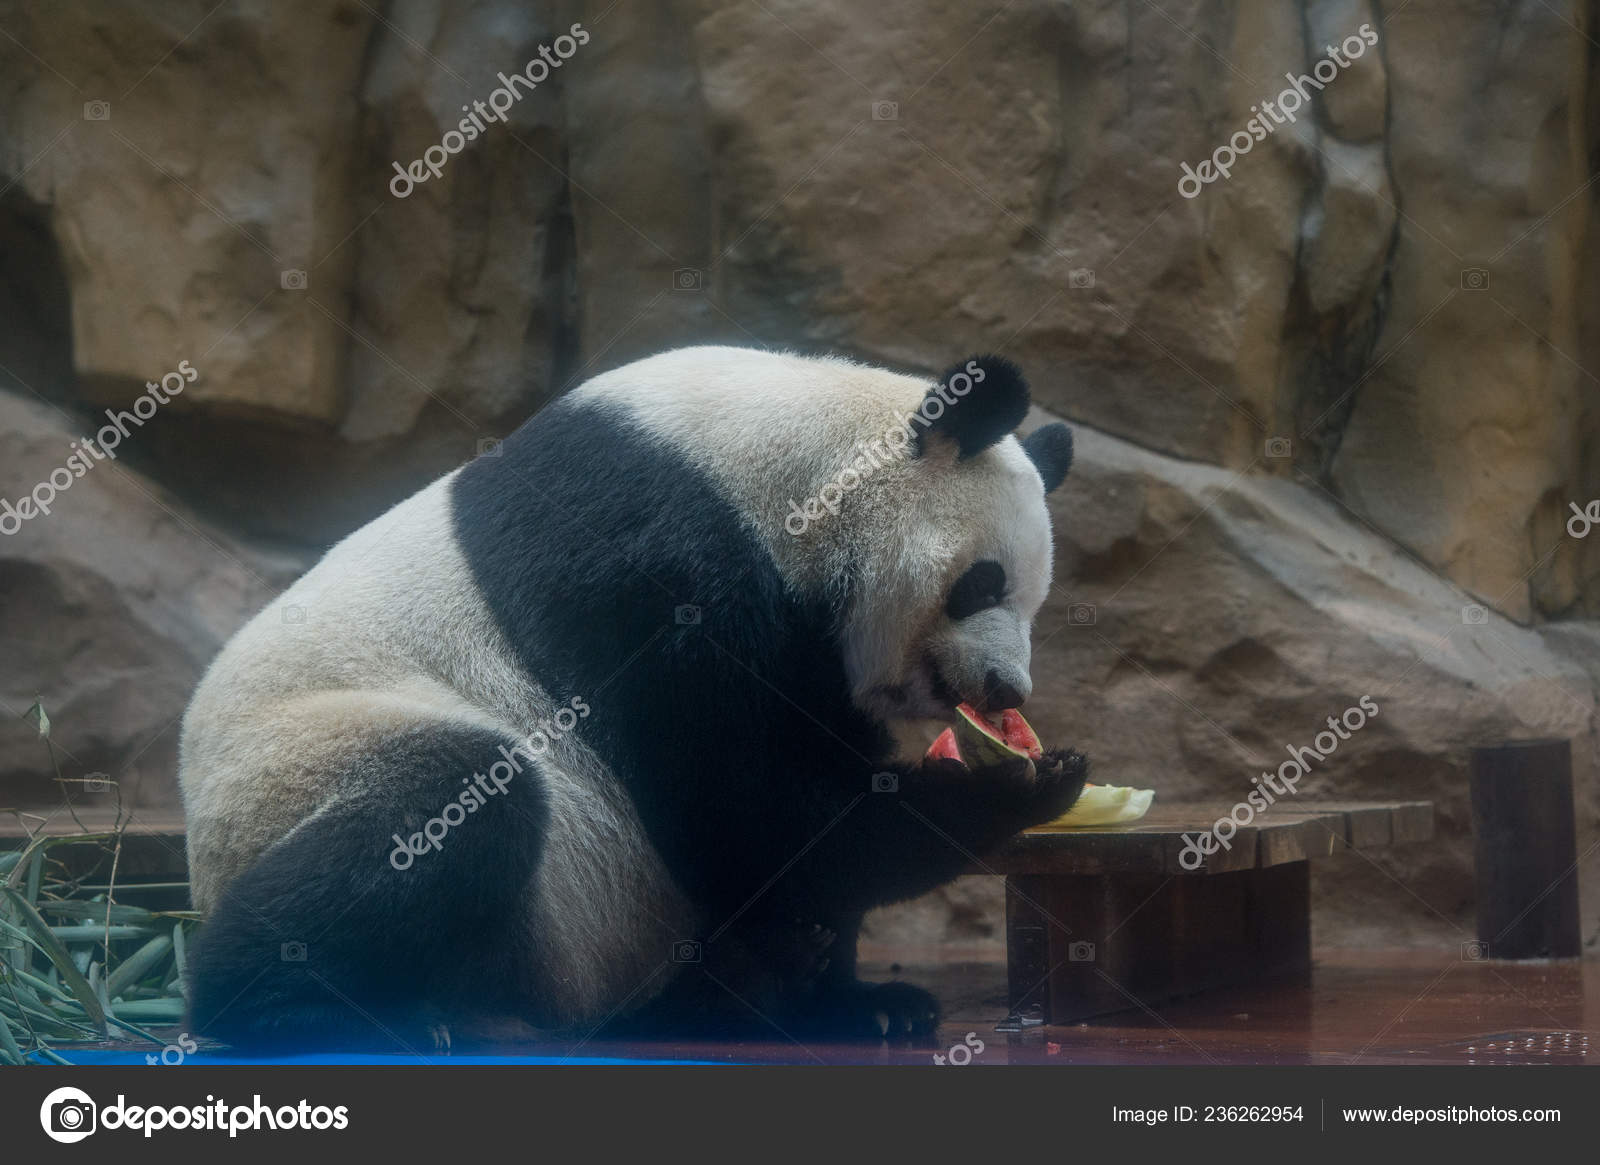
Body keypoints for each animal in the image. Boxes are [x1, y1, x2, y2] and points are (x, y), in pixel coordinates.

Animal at [180, 345, 1085, 1051]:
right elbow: (739, 808)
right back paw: (333, 1013)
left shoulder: (809, 642)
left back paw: (741, 985)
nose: (1007, 688)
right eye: (983, 583)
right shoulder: (648, 556)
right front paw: (1017, 785)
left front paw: (862, 1002)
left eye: (1036, 600)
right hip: (301, 763)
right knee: (450, 804)